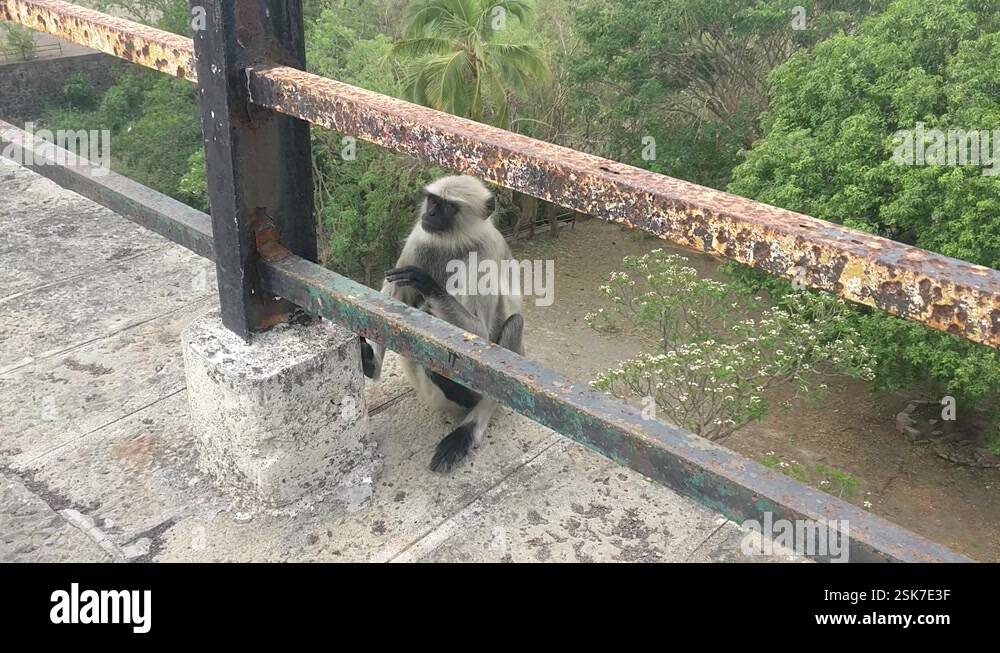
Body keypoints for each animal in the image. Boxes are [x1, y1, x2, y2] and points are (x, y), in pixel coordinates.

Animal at [360, 175, 524, 473]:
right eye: (433, 201)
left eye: (448, 207)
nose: (431, 214)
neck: (454, 241)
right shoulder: (419, 239)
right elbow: (389, 300)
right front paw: (371, 363)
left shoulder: (484, 253)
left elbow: (481, 334)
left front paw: (428, 286)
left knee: (514, 322)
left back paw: (468, 421)